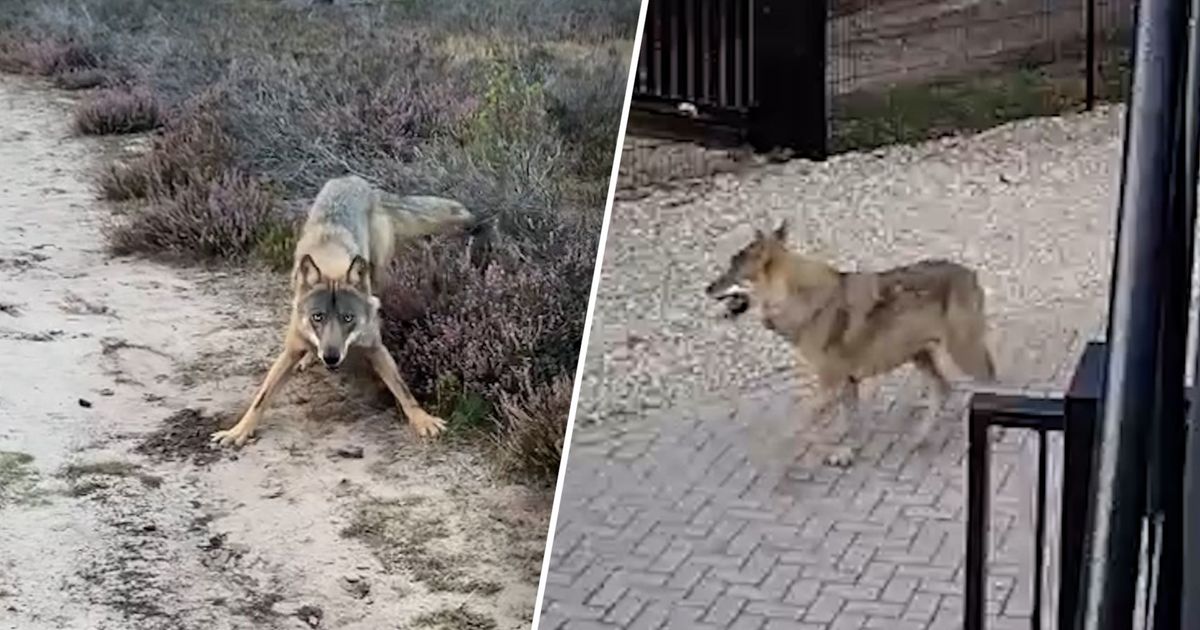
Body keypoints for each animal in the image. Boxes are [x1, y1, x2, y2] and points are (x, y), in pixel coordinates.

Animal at [211, 175, 483, 448]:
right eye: (317, 317)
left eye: (348, 318)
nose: (331, 357)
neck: (330, 261)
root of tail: (355, 180)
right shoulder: (291, 350)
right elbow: (261, 398)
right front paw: (238, 430)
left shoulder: (375, 347)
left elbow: (403, 390)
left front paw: (423, 420)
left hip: (378, 272)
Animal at [705, 219, 996, 466]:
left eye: (732, 270)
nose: (707, 288)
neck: (796, 299)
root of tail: (971, 273)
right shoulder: (846, 383)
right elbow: (849, 422)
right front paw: (848, 450)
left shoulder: (830, 384)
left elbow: (799, 423)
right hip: (920, 355)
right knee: (943, 389)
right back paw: (919, 438)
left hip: (962, 353)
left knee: (989, 382)